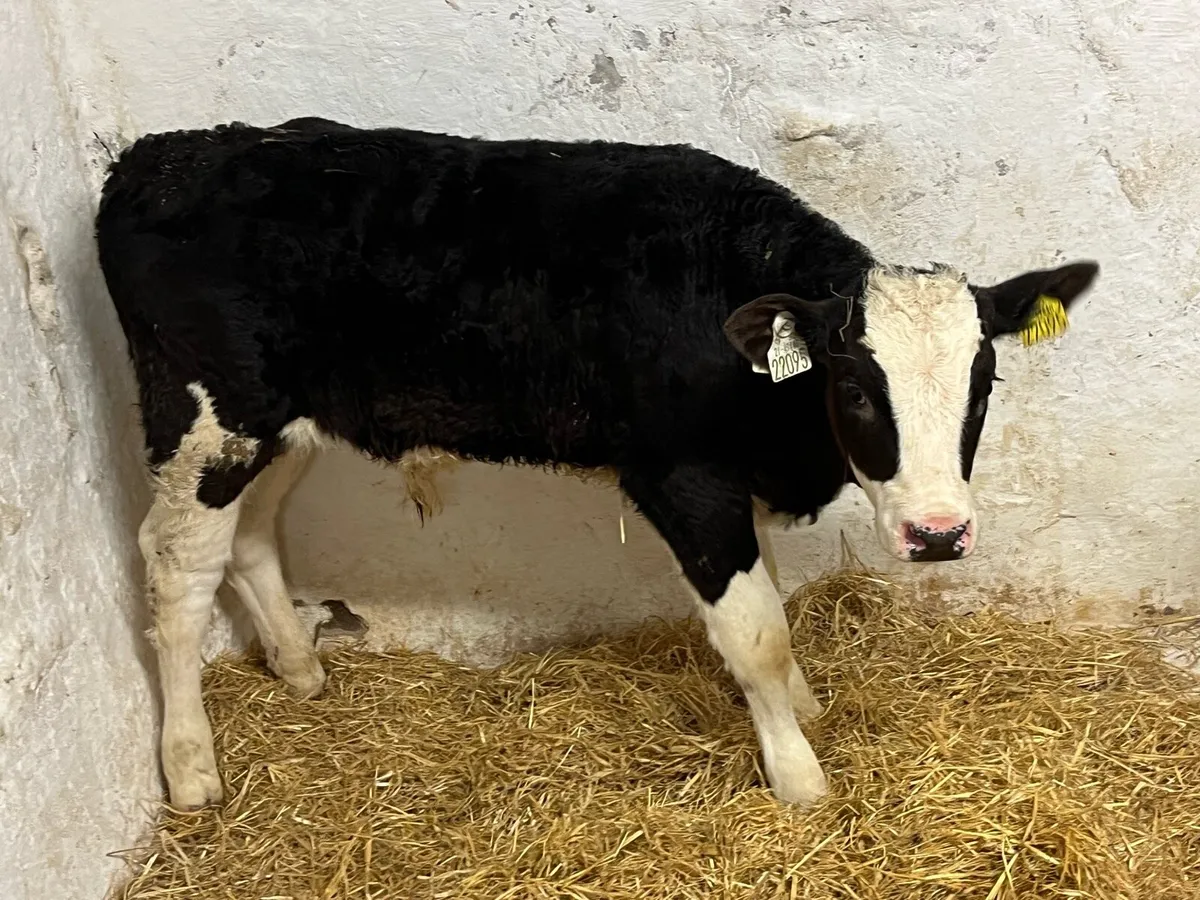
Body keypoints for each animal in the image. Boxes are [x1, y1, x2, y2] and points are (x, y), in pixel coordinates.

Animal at [95, 117, 1099, 811]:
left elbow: (771, 603)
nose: (938, 534)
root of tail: (159, 155)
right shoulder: (682, 477)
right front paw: (800, 779)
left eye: (983, 381)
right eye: (853, 387)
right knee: (178, 568)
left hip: (275, 425)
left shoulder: (735, 480)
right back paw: (191, 768)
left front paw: (806, 710)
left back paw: (302, 671)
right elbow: (757, 632)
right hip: (204, 417)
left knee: (250, 537)